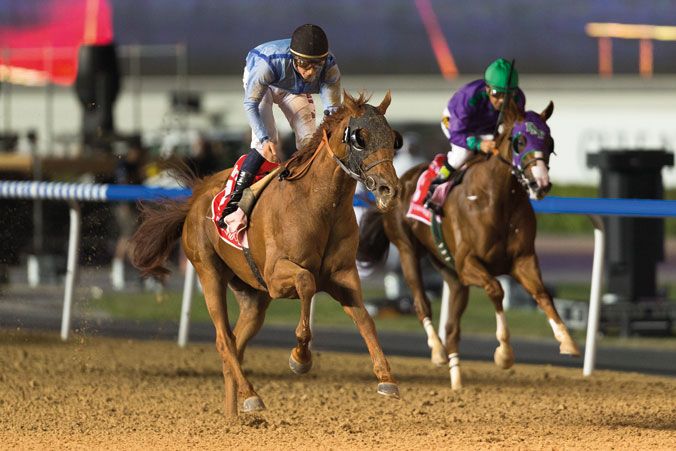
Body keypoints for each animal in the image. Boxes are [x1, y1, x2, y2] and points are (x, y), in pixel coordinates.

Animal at [130, 92, 402, 416]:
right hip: (209, 272)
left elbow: (365, 320)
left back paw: (233, 414)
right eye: (360, 138)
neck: (320, 204)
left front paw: (386, 378)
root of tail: (195, 198)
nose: (389, 189)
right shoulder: (276, 277)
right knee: (224, 340)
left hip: (252, 296)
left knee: (235, 344)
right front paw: (300, 358)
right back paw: (251, 396)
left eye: (394, 138)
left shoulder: (343, 276)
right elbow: (307, 282)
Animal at [357, 102, 580, 390]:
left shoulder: (522, 259)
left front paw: (567, 341)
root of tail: (400, 180)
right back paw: (437, 352)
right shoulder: (469, 264)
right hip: (407, 251)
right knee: (421, 303)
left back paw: (456, 381)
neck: (498, 199)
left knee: (452, 327)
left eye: (549, 140)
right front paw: (504, 354)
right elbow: (497, 289)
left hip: (450, 272)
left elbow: (542, 294)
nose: (540, 183)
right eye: (520, 141)